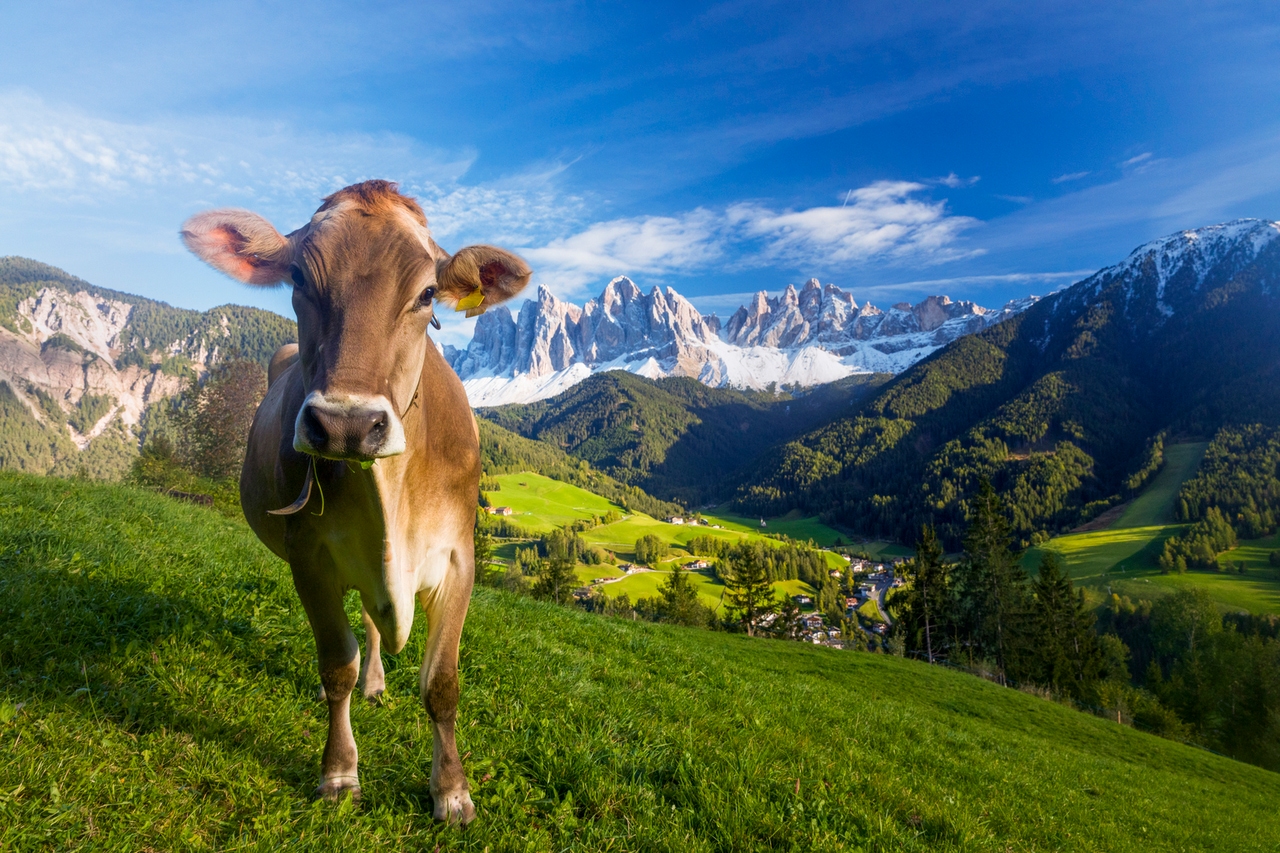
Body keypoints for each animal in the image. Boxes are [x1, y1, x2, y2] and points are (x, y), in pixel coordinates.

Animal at [181, 180, 531, 824]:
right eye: (297, 276)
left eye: (426, 294)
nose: (345, 425)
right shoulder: (310, 558)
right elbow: (335, 662)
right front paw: (340, 772)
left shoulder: (459, 557)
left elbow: (442, 683)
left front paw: (452, 790)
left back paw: (377, 682)